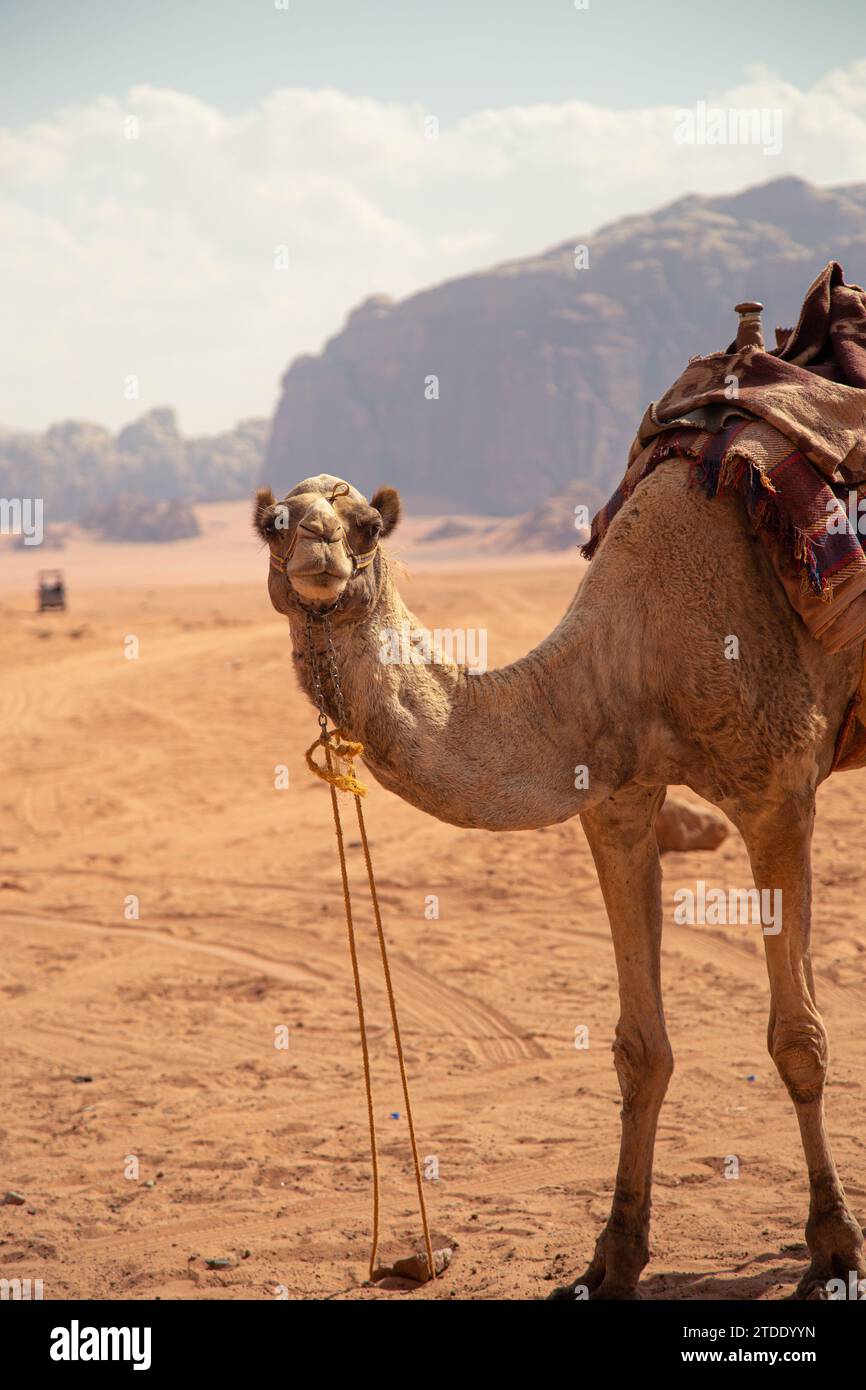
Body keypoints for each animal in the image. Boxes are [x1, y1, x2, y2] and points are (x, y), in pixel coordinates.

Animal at [254, 464, 865, 1300]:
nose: (317, 550)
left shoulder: (777, 788)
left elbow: (799, 1039)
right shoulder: (615, 800)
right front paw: (613, 1258)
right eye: (272, 525)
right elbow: (641, 1050)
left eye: (368, 528)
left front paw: (835, 1250)